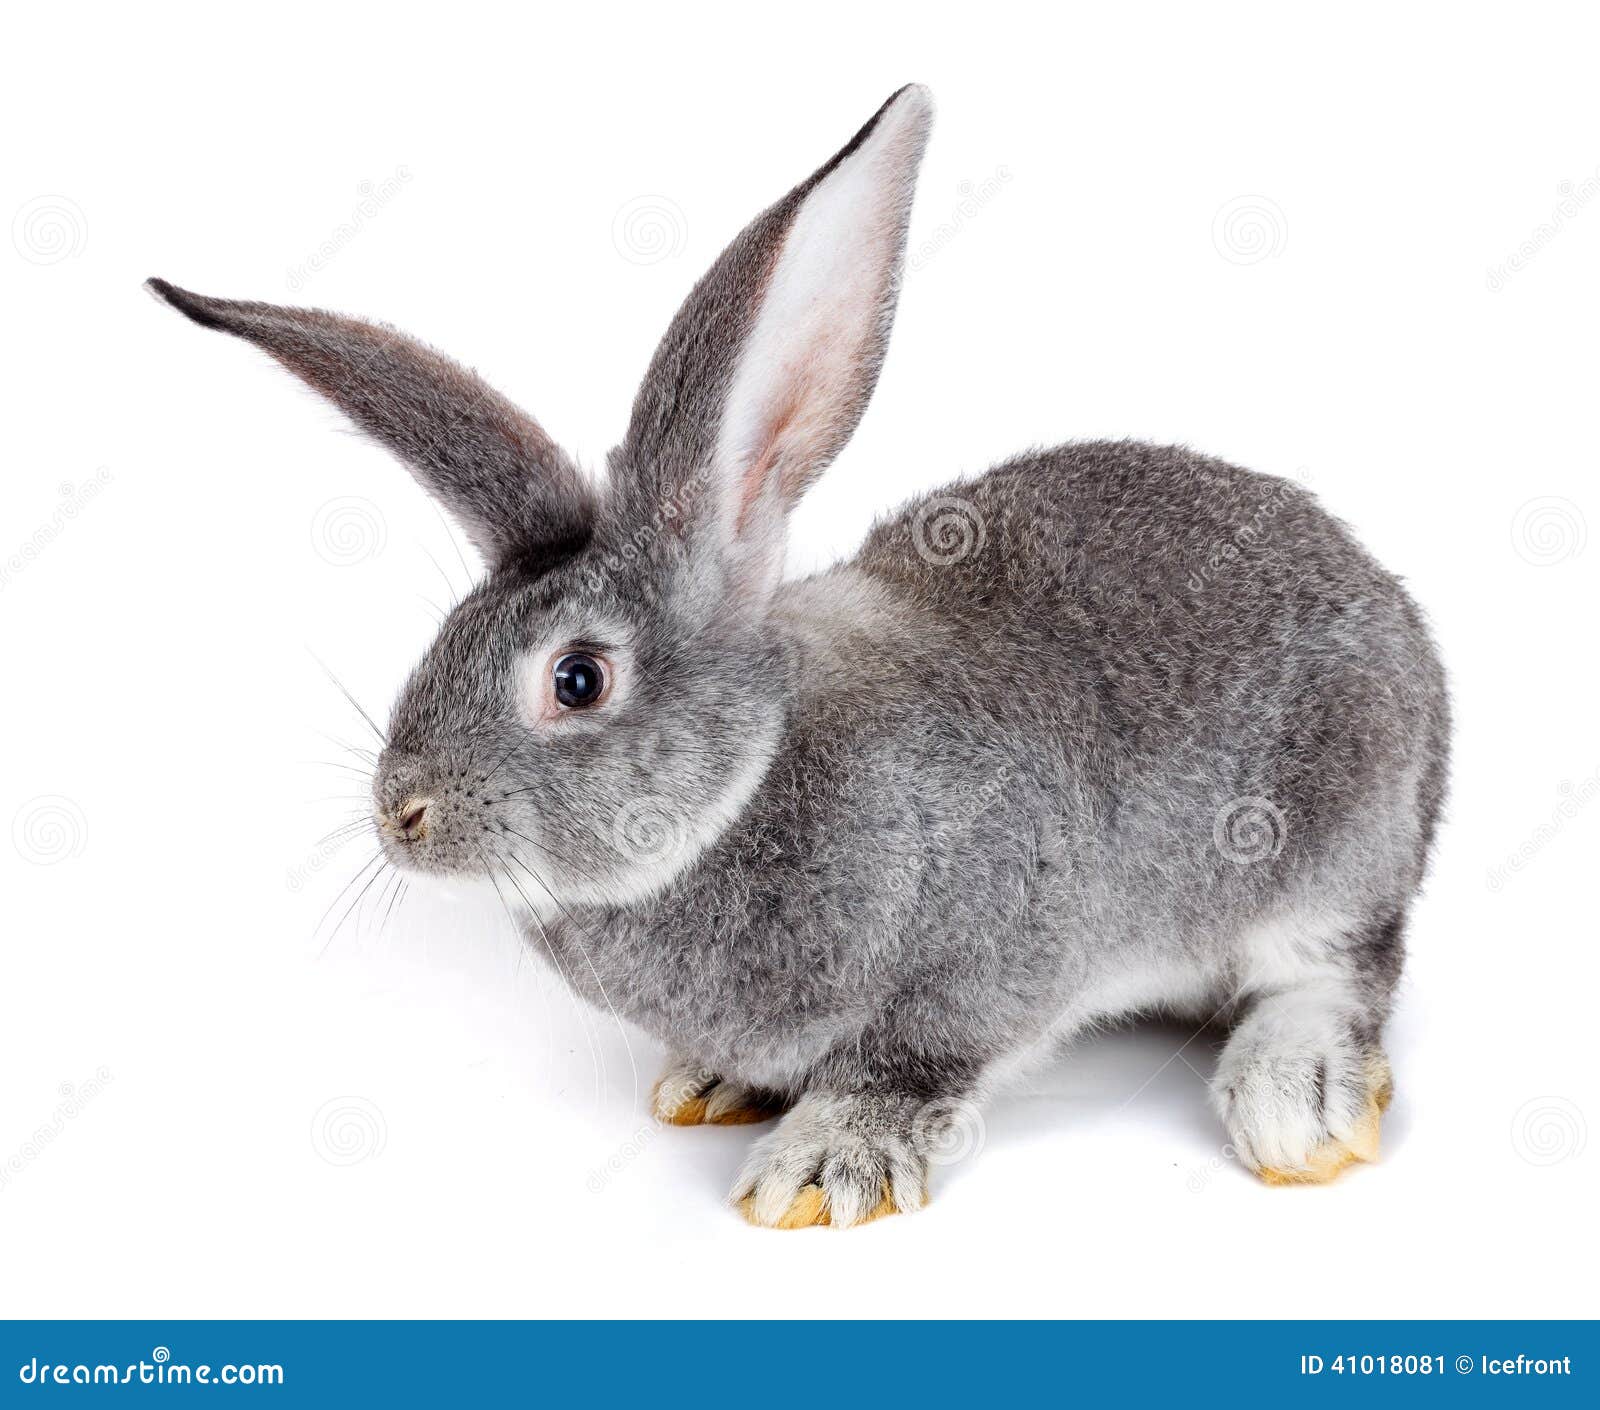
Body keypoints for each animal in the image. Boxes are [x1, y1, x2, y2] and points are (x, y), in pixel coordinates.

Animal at [148, 83, 1449, 1228]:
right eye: (448, 637)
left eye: (578, 679)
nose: (399, 813)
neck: (748, 783)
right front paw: (724, 1085)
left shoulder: (983, 957)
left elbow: (913, 1063)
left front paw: (825, 1164)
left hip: (1330, 837)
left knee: (1340, 971)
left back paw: (1294, 1102)